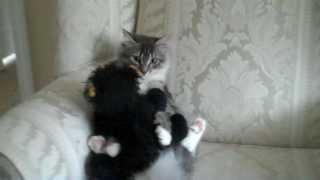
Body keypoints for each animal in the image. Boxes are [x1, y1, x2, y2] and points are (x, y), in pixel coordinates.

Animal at [84, 30, 191, 179]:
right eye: (136, 59)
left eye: (154, 61)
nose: (144, 71)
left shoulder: (163, 97)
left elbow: (163, 113)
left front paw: (164, 134)